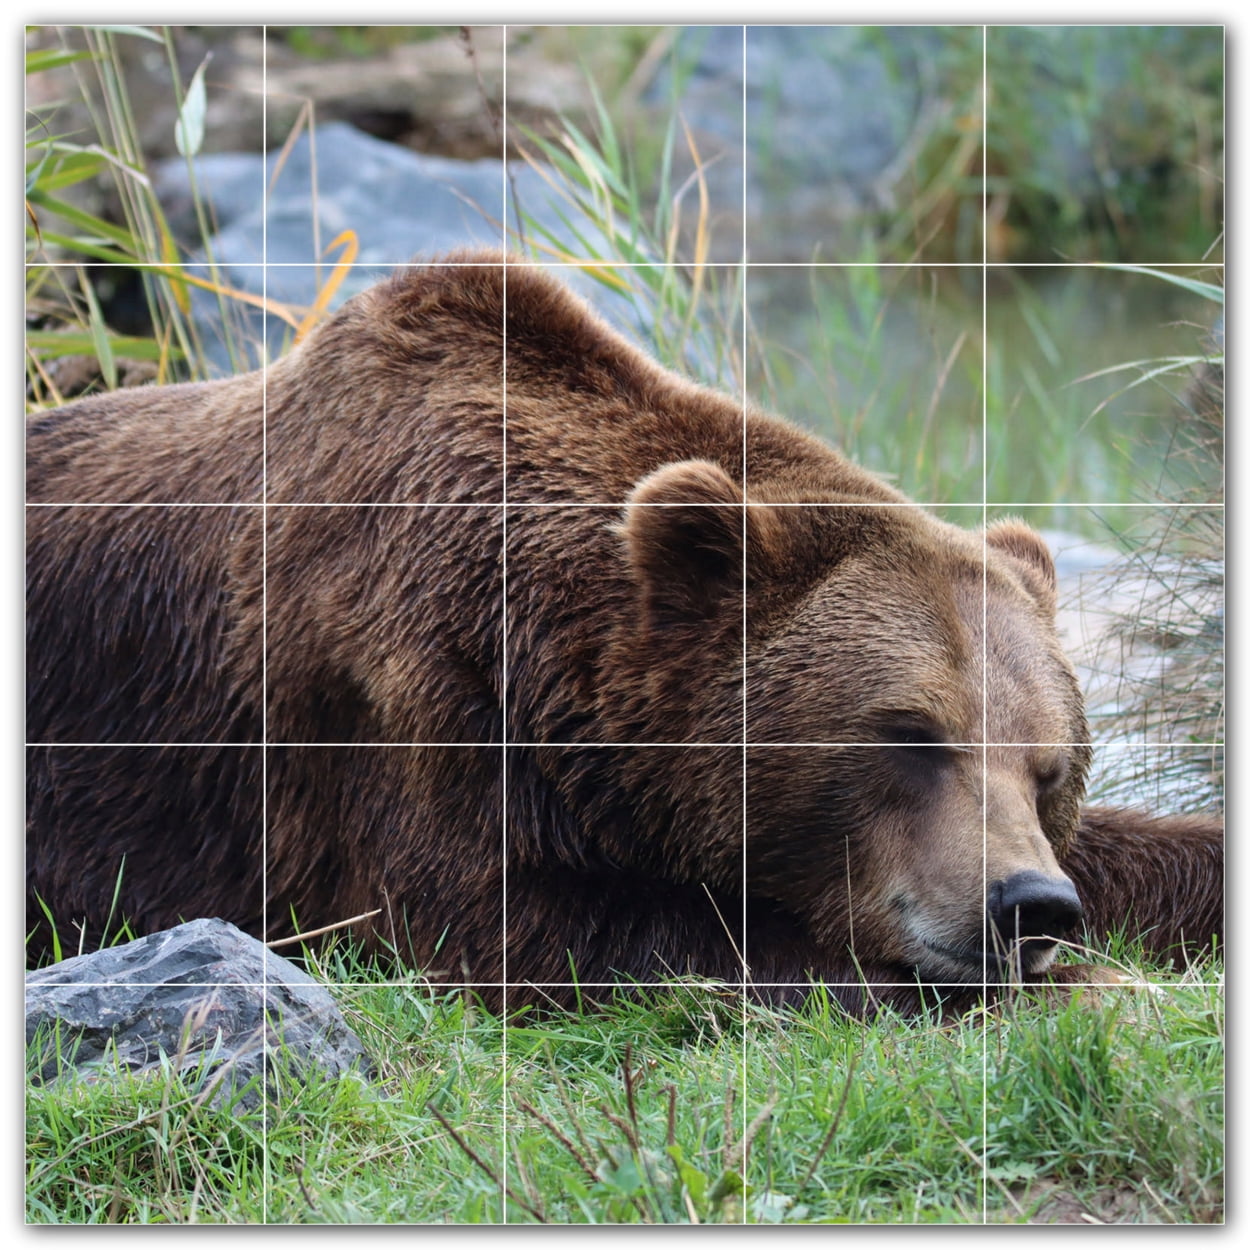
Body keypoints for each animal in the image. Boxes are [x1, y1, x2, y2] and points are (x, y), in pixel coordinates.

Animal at [25, 253, 1223, 1016]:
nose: (1029, 907)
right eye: (907, 732)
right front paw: (1098, 986)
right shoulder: (393, 715)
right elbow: (543, 925)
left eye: (1048, 765)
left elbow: (1136, 848)